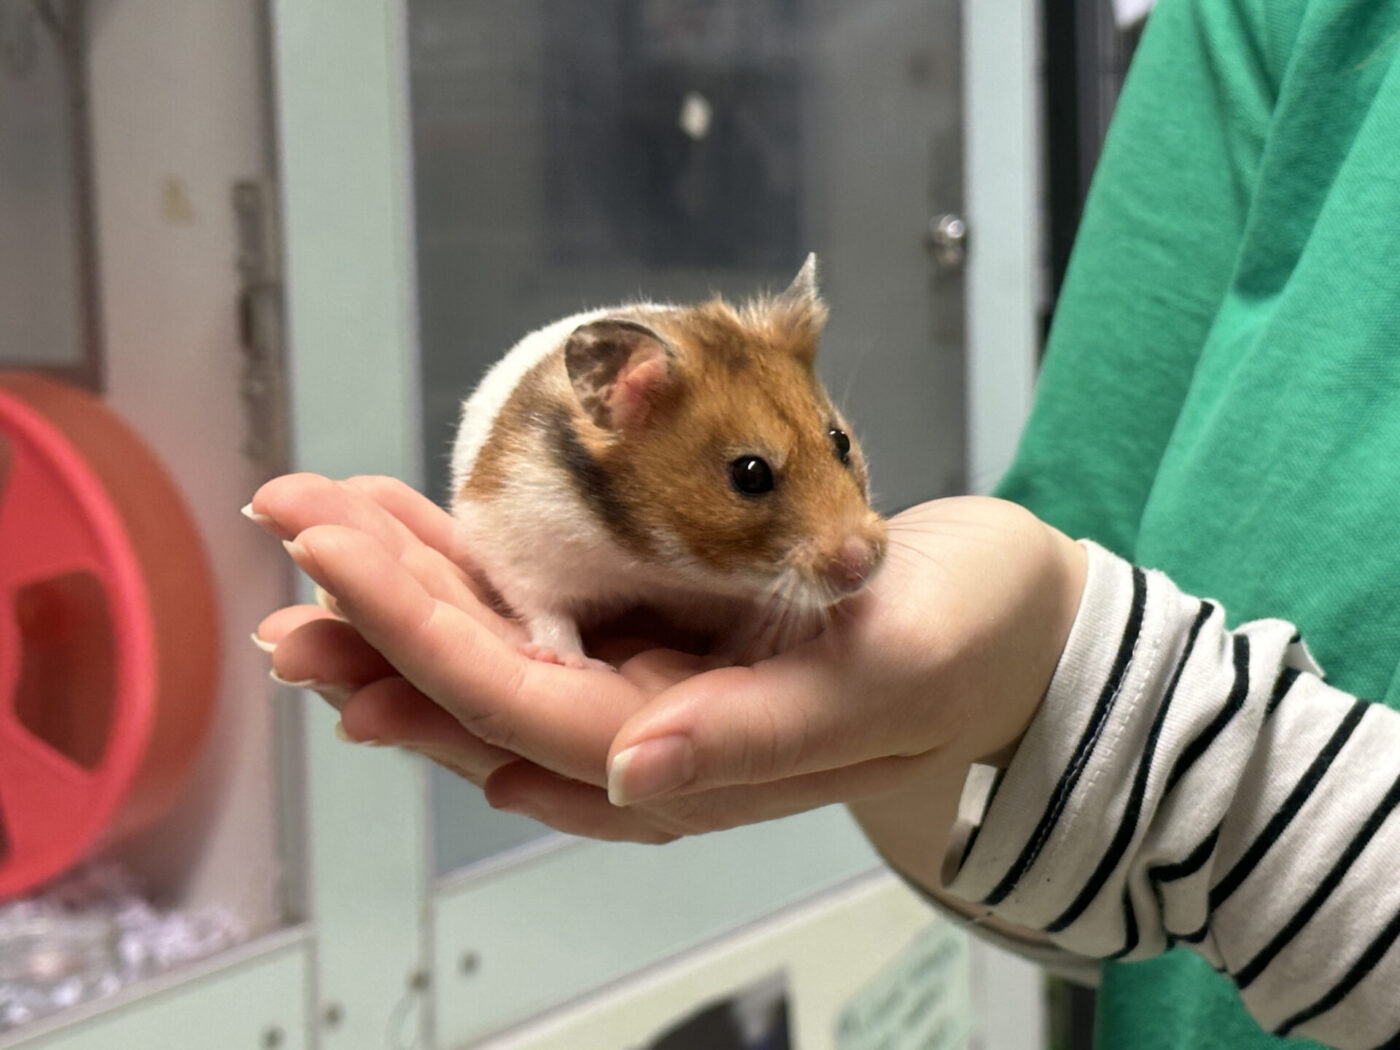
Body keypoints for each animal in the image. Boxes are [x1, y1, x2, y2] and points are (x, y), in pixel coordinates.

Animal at [449, 254, 886, 669]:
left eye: (841, 440)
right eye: (750, 474)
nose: (863, 567)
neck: (654, 561)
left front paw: (727, 659)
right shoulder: (515, 543)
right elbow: (547, 612)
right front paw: (572, 662)